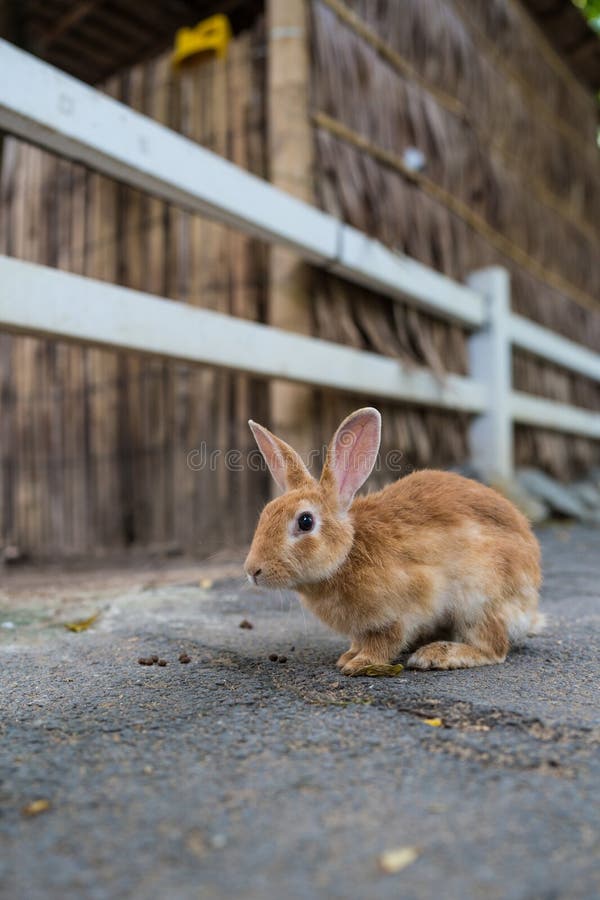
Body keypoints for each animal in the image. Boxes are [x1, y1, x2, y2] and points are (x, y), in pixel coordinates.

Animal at [244, 407, 543, 674]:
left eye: (305, 522)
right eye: (266, 512)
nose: (252, 571)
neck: (347, 554)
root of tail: (529, 607)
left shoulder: (402, 609)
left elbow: (386, 641)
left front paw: (359, 663)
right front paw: (348, 656)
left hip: (478, 600)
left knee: (493, 647)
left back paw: (437, 655)